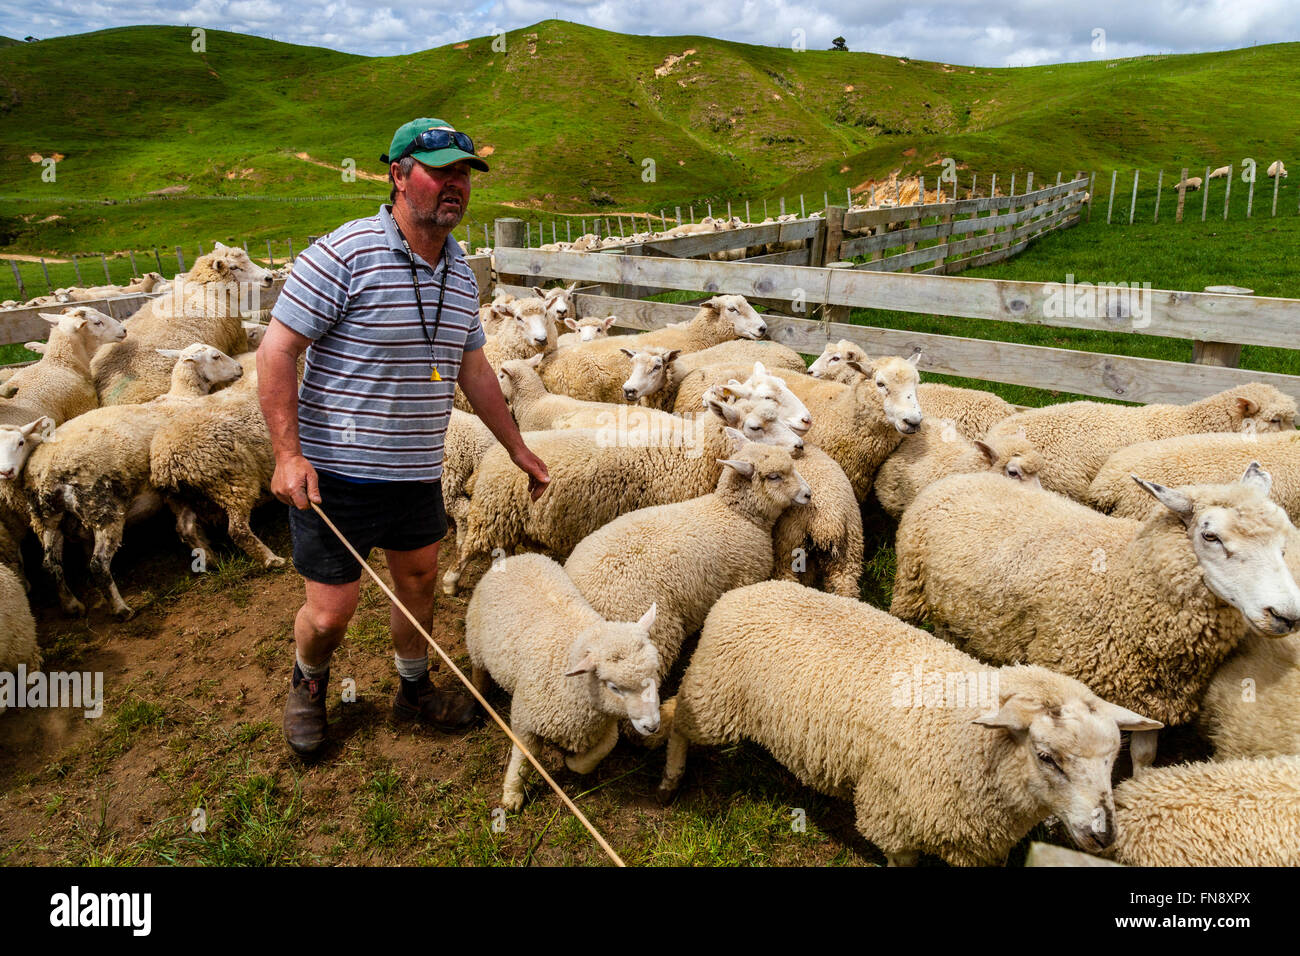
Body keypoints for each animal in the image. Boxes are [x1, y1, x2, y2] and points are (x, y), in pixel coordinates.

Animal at [23, 344, 245, 619]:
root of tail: (48, 472)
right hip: (103, 509)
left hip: (46, 519)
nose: (240, 368)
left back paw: (71, 605)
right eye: (215, 356)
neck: (181, 397)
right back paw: (121, 609)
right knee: (97, 565)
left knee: (50, 564)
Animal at [441, 394, 804, 595]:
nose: (800, 445)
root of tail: (491, 456)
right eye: (755, 427)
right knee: (469, 547)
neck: (689, 456)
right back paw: (450, 581)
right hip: (493, 512)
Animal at [465, 552, 660, 810]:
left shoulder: (604, 724)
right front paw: (512, 795)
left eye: (654, 672)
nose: (652, 726)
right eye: (614, 687)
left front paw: (573, 763)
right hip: (475, 639)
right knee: (478, 670)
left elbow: (604, 748)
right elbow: (523, 760)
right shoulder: (525, 719)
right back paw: (479, 694)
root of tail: (518, 556)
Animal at [658, 581, 1161, 866]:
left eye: (1112, 760)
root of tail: (744, 590)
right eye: (1046, 757)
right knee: (678, 717)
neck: (964, 738)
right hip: (714, 699)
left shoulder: (981, 847)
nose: (1104, 835)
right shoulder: (893, 821)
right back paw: (670, 777)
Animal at [890, 466, 1300, 770]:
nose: (1286, 615)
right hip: (912, 590)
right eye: (1210, 536)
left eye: (1283, 545)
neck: (1122, 583)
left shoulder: (1150, 694)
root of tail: (961, 476)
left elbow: (1144, 755)